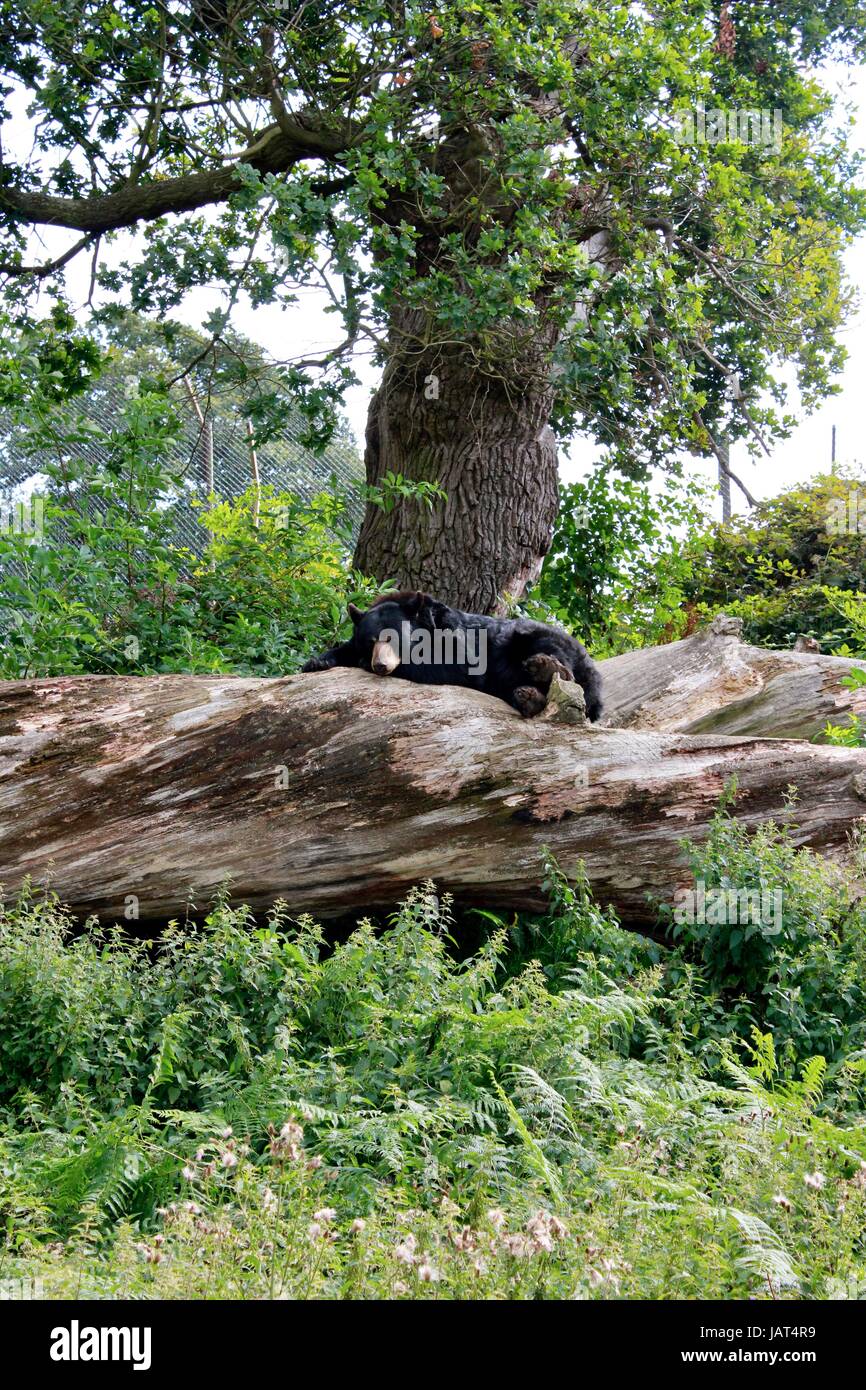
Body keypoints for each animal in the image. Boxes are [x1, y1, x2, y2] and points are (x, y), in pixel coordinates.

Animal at [301, 591, 603, 721]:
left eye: (394, 639)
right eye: (371, 640)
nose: (380, 665)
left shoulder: (457, 638)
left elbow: (455, 664)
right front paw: (317, 661)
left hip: (536, 639)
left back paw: (546, 669)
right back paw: (528, 696)